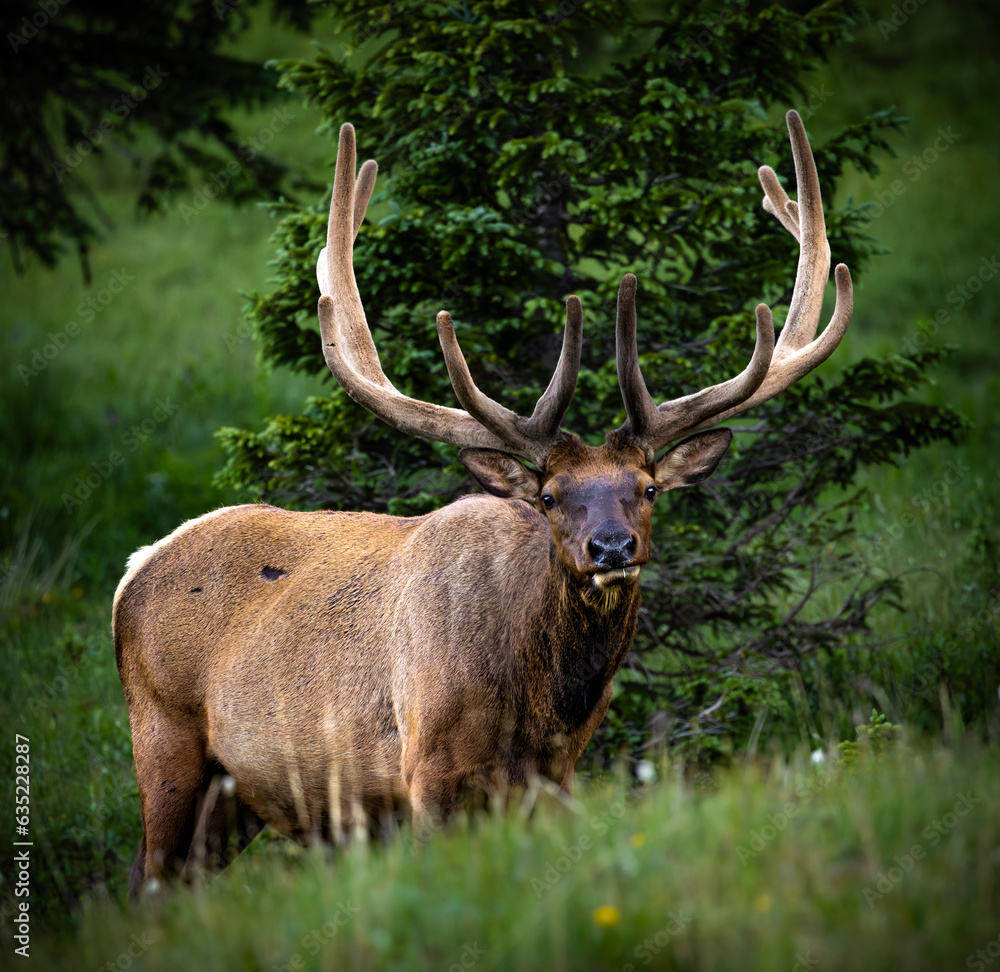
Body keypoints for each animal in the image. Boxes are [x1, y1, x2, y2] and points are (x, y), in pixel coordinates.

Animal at [113, 110, 852, 898]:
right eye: (551, 497)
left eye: (648, 490)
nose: (611, 548)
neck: (535, 703)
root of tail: (136, 567)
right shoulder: (427, 774)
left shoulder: (555, 779)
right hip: (164, 742)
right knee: (146, 877)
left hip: (234, 797)